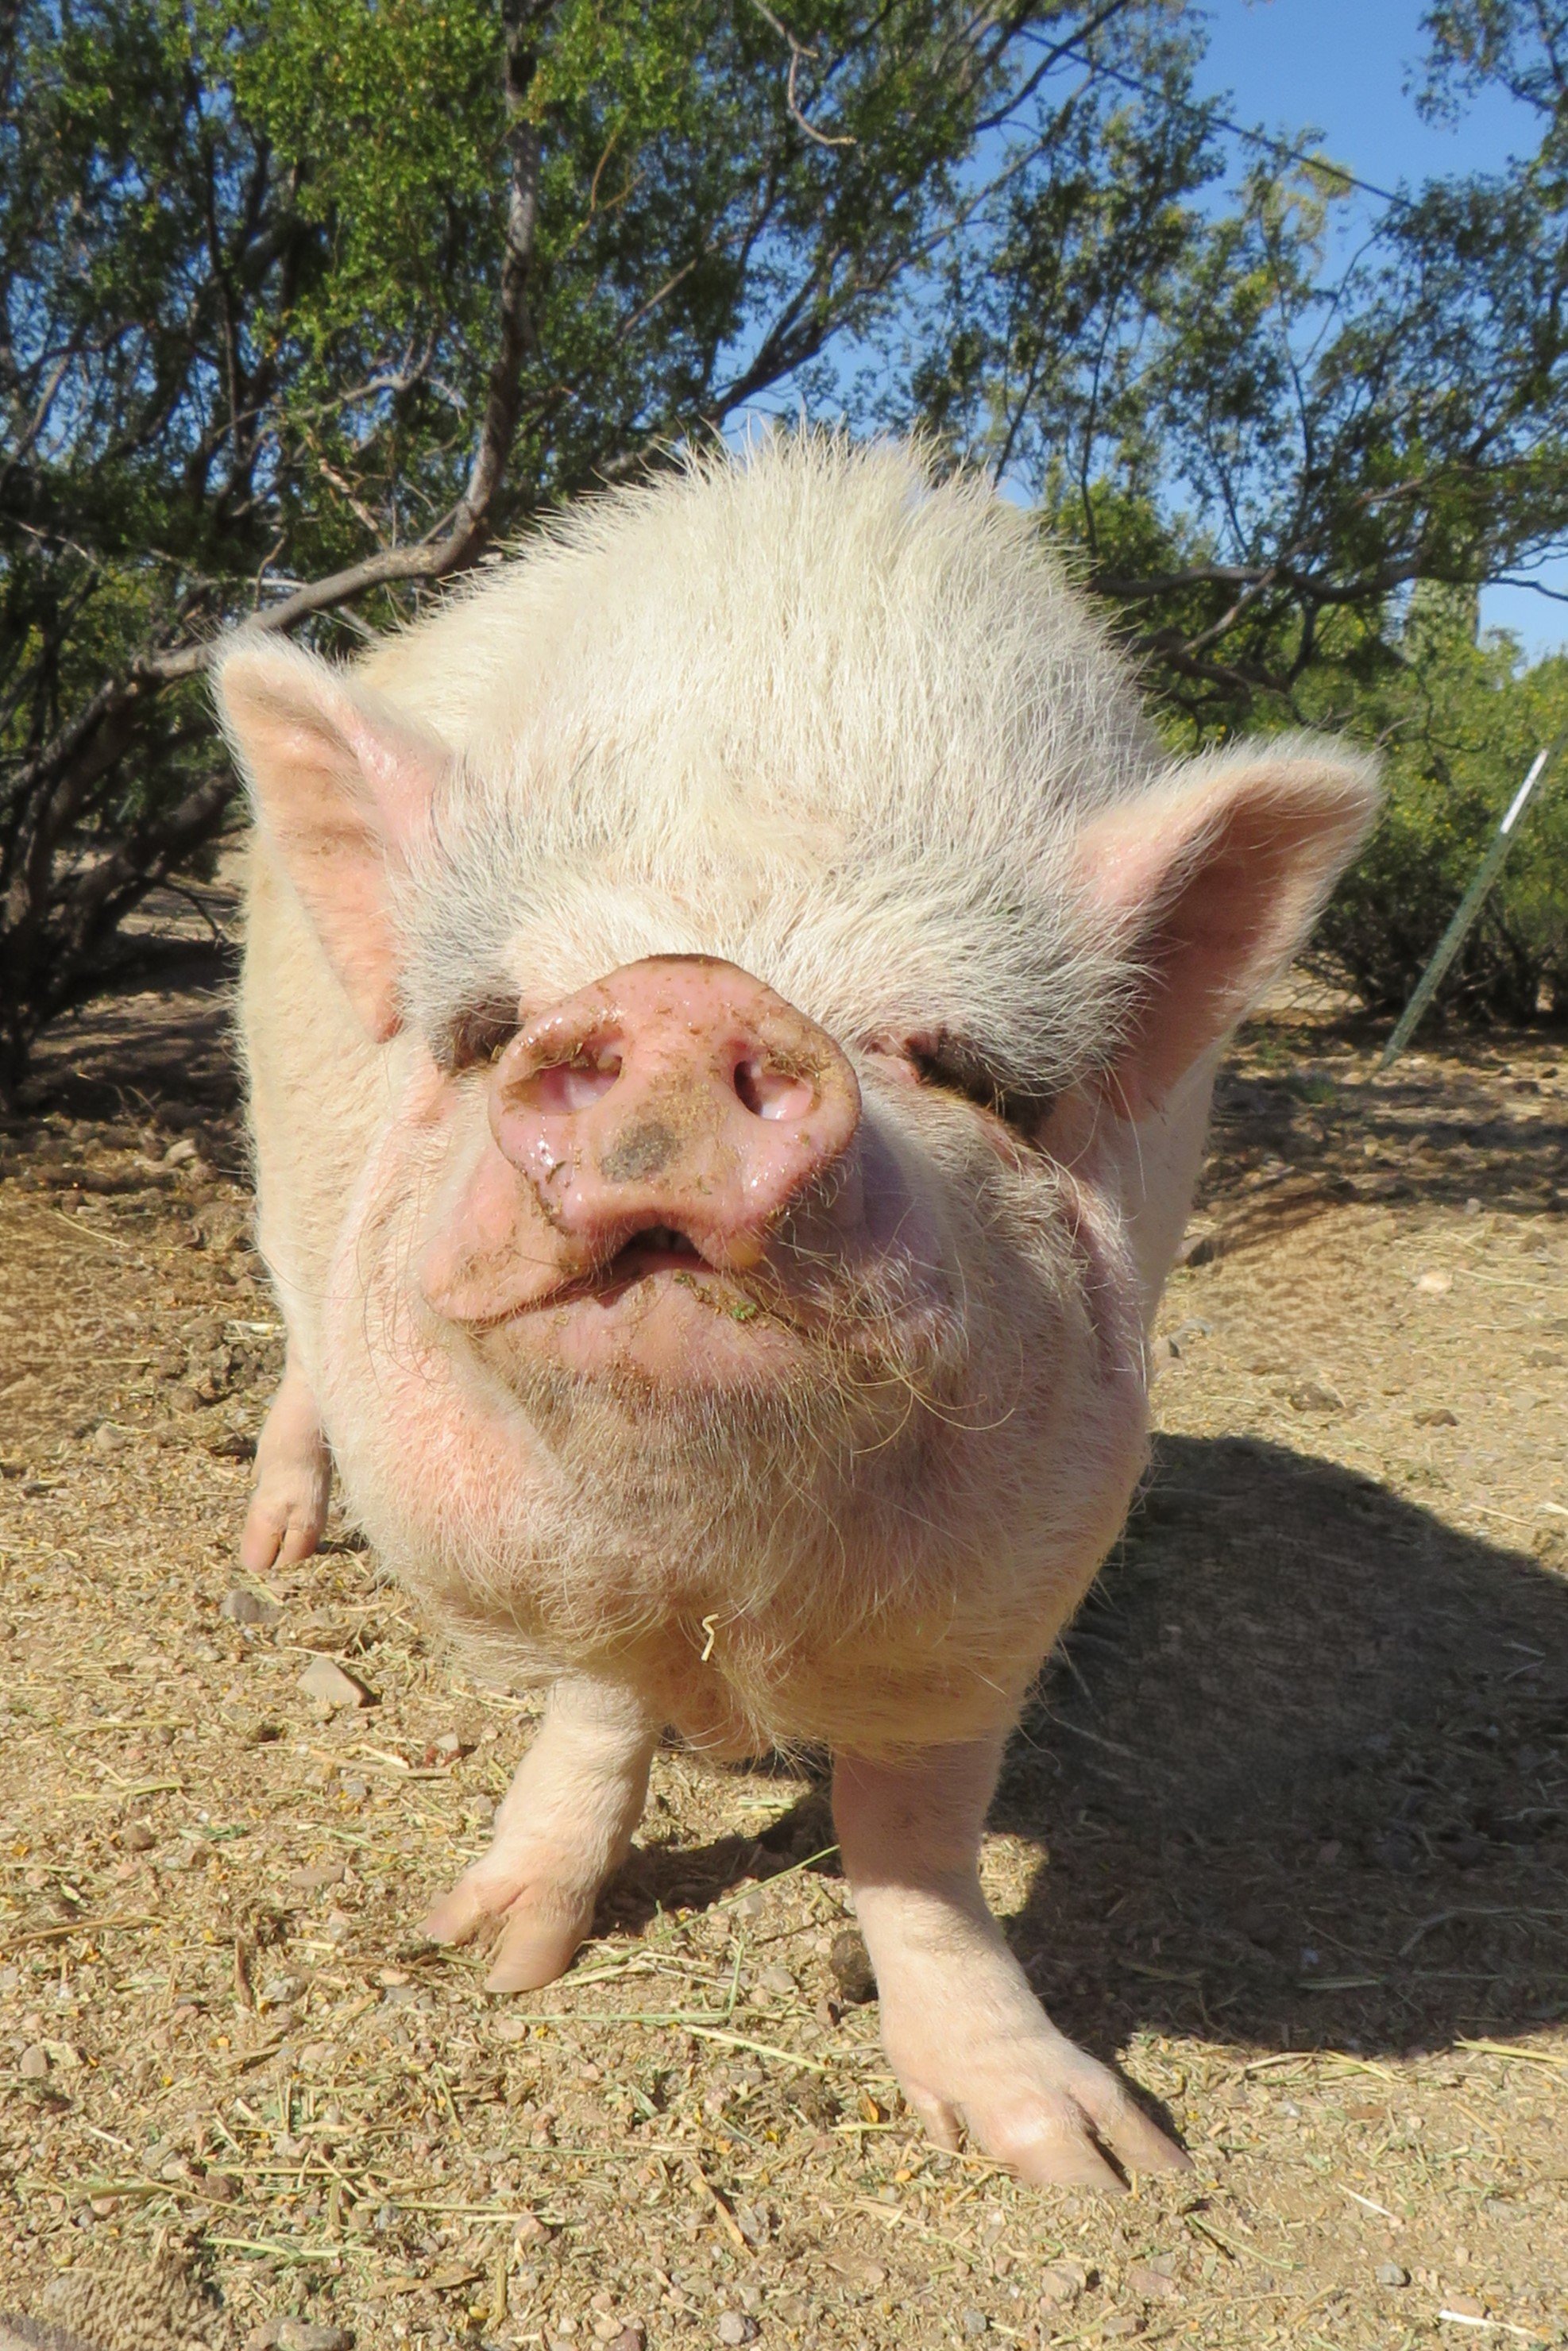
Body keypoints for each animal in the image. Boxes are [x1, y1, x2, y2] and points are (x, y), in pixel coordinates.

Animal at [216, 436, 1377, 2191]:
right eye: (484, 1026)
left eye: (970, 1073)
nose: (691, 991)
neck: (717, 1542)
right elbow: (598, 1703)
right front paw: (485, 1954)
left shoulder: (1015, 1575)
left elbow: (917, 1820)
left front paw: (1095, 2165)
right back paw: (277, 1546)